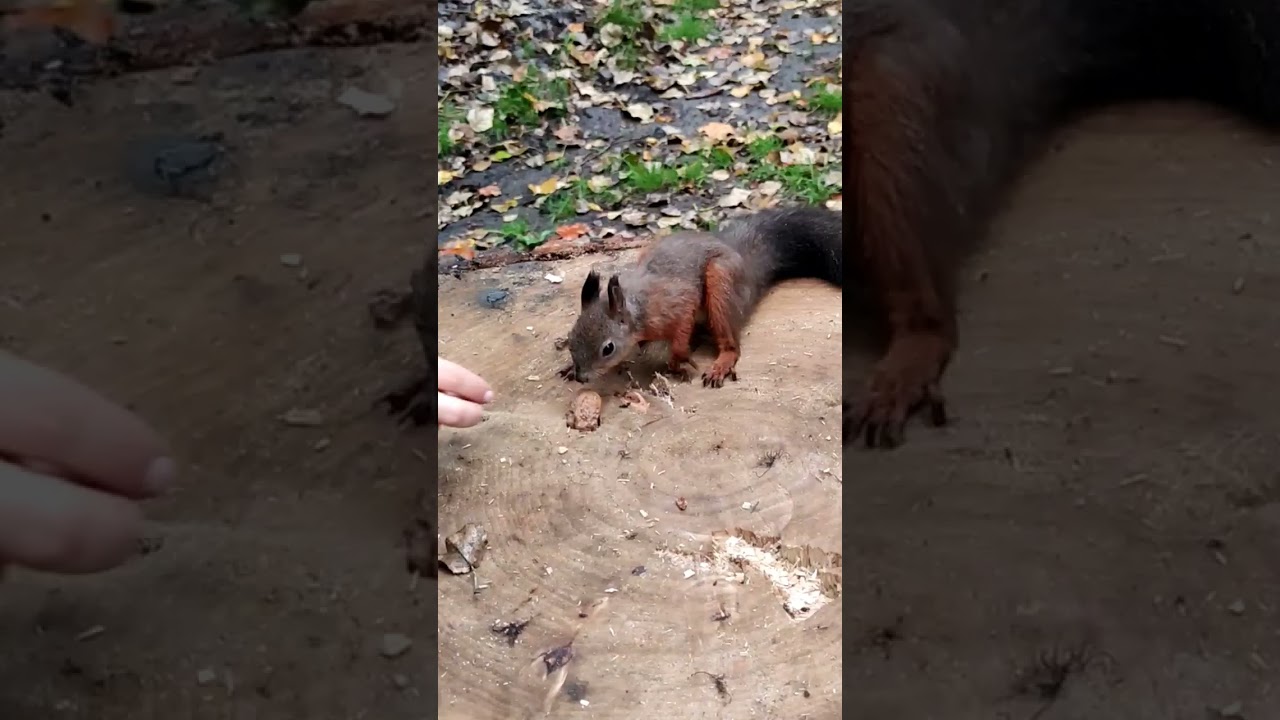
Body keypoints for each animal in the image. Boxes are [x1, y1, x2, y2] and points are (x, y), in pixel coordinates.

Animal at [560, 206, 842, 390]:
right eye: (570, 338)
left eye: (608, 348)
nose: (582, 377)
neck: (637, 308)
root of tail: (746, 266)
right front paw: (568, 368)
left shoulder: (676, 306)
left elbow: (681, 333)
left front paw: (678, 362)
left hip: (721, 285)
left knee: (731, 343)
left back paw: (721, 364)